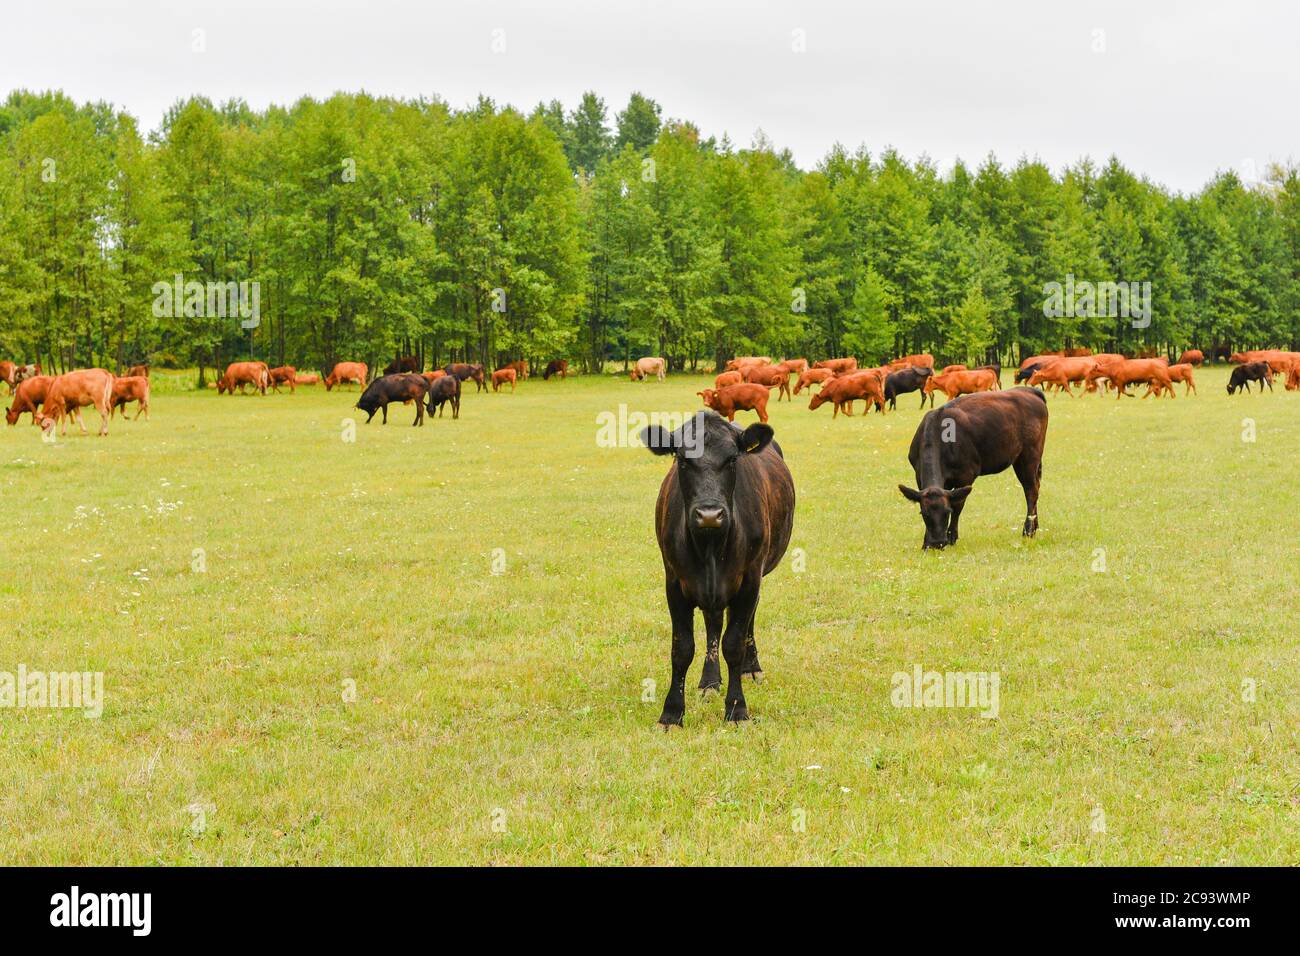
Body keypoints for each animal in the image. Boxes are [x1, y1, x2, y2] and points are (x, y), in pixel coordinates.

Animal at [640, 411, 795, 725]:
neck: (710, 546)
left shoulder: (749, 580)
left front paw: (737, 709)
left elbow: (733, 644)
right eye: (682, 459)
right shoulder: (674, 582)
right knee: (713, 622)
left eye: (733, 459)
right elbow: (682, 648)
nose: (709, 514)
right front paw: (672, 713)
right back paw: (709, 681)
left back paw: (751, 667)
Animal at [899, 388, 1048, 549]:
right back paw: (1035, 526)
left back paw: (1028, 531)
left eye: (947, 512)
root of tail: (1027, 390)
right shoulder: (919, 476)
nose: (937, 543)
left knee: (1031, 490)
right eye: (924, 514)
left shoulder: (966, 475)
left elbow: (958, 505)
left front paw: (952, 537)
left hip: (1029, 455)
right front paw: (925, 543)